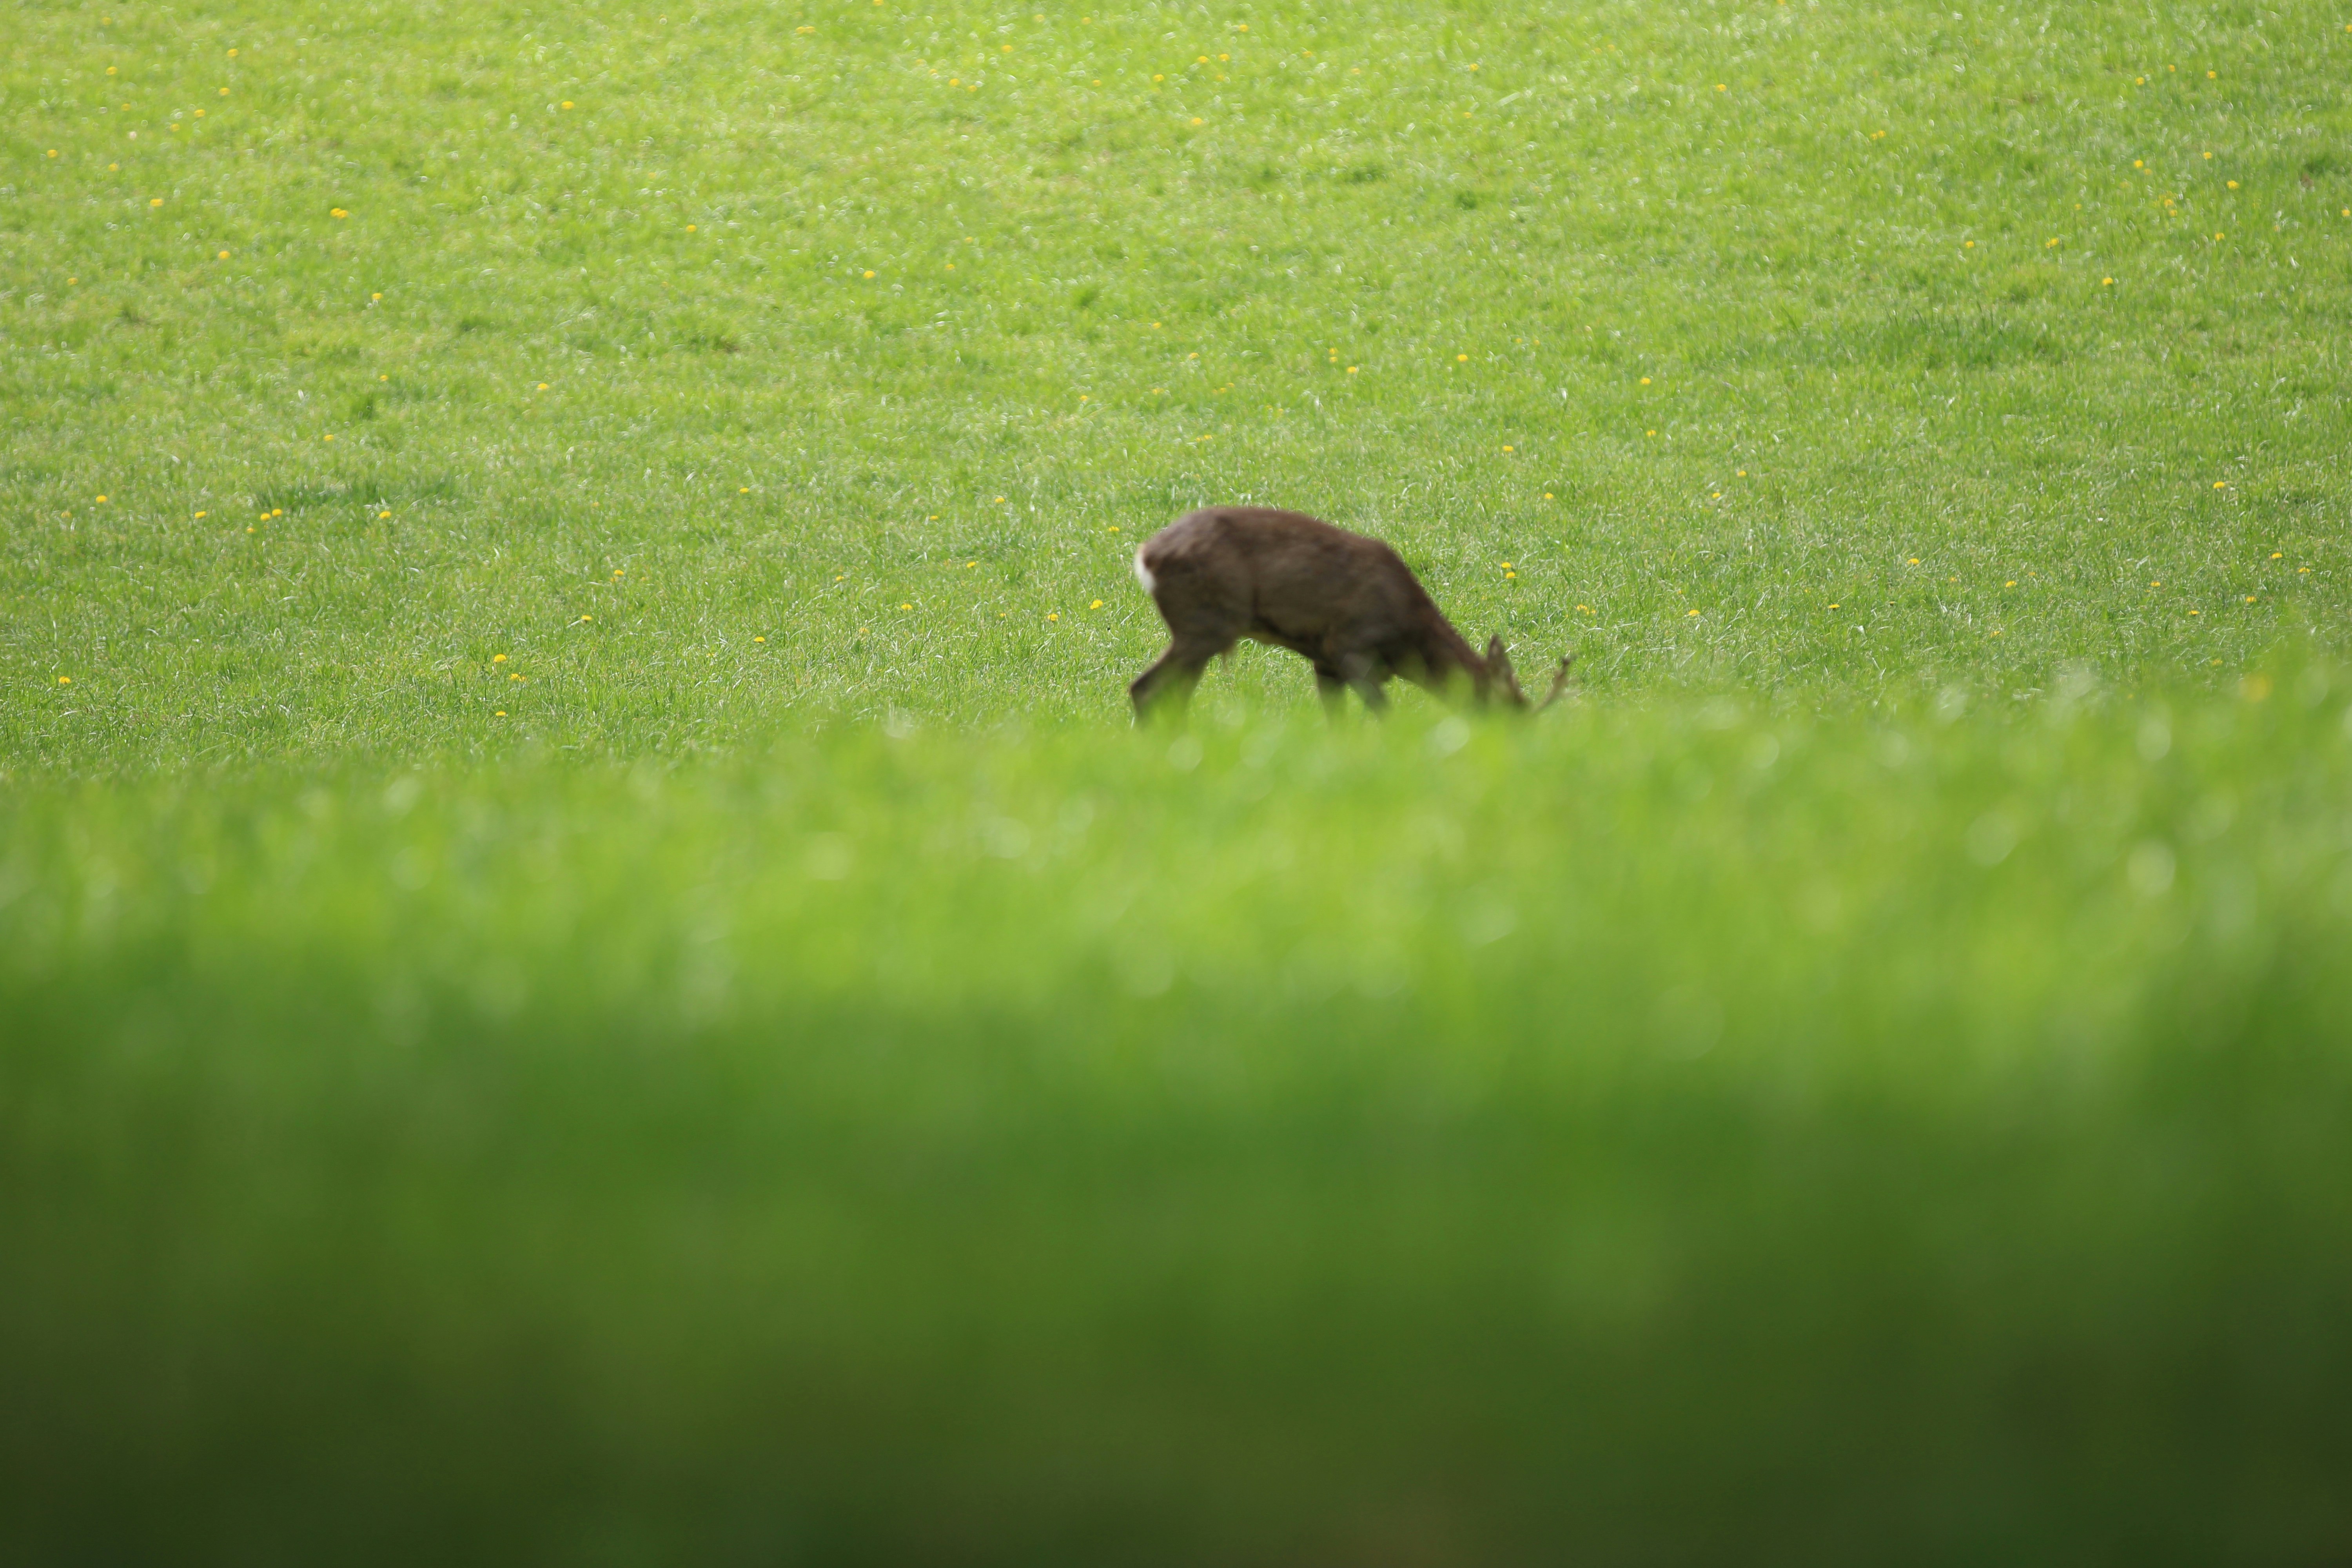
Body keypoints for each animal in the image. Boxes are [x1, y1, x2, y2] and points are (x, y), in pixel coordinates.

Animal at [1128, 506, 1572, 721]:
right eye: (1509, 710)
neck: (1409, 638)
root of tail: (1146, 556)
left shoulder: (1324, 663)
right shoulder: (1351, 647)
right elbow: (1386, 716)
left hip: (1202, 631)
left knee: (1169, 694)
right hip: (1206, 623)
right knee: (1147, 689)